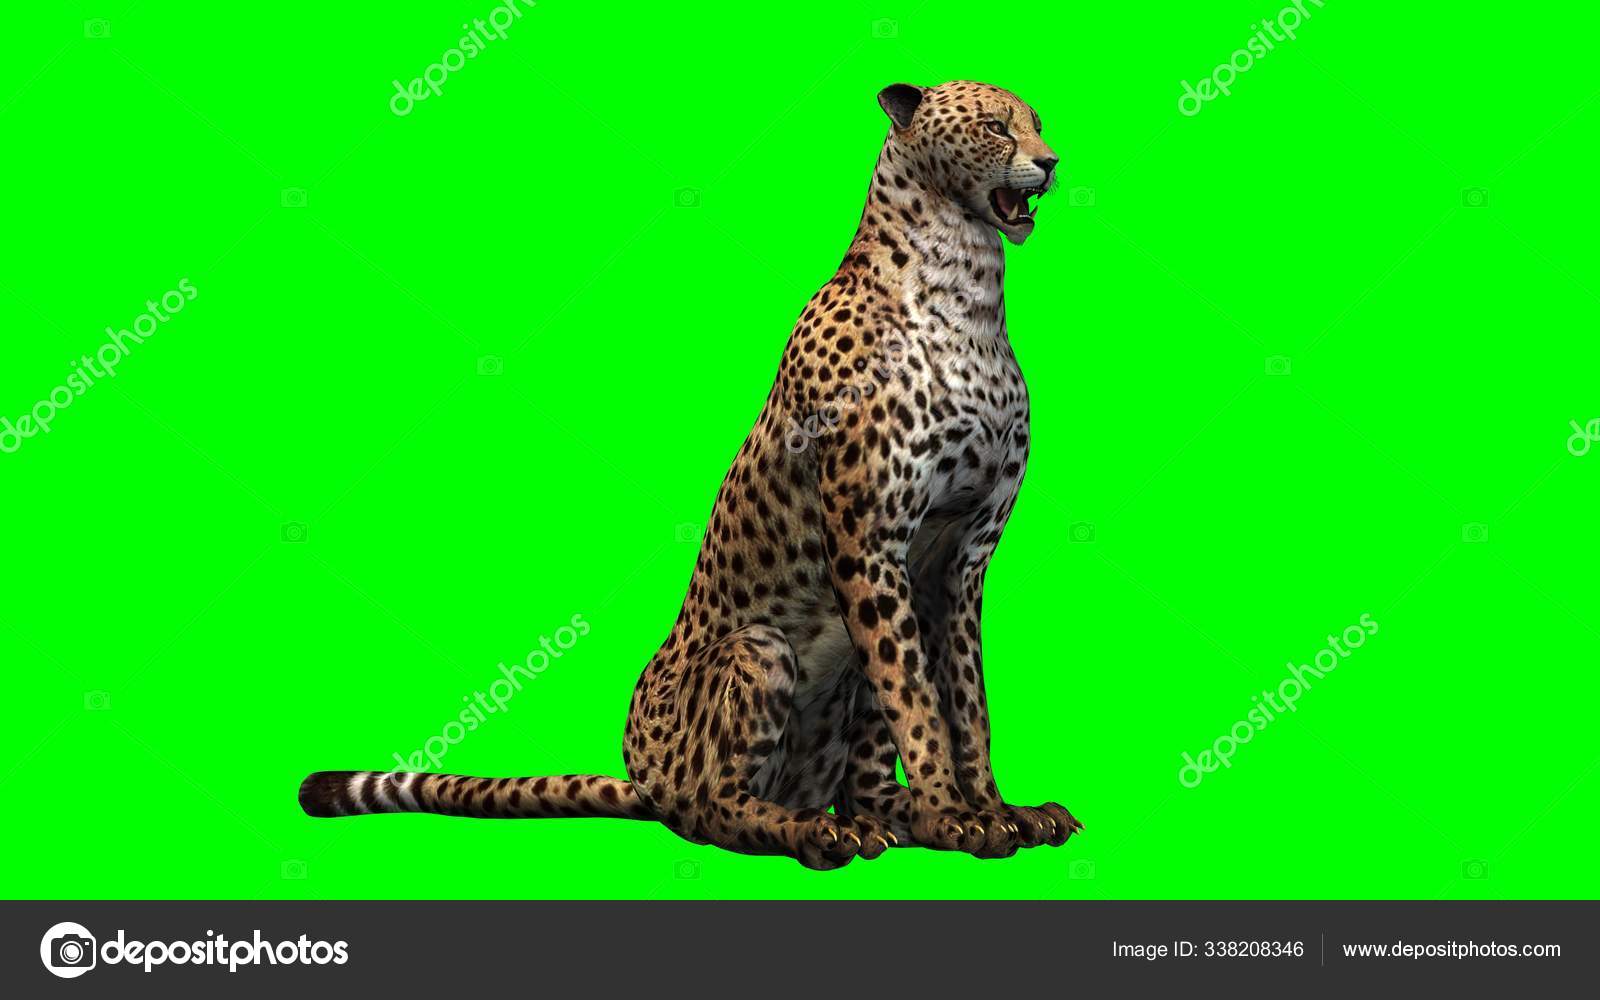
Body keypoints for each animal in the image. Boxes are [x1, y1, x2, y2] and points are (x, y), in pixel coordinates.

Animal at [301, 80, 1083, 869]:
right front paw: (956, 819)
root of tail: (644, 771)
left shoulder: (958, 556)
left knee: (855, 777)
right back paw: (820, 830)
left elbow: (966, 697)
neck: (967, 284)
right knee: (716, 810)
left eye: (1038, 124)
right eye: (996, 125)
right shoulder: (871, 545)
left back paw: (886, 816)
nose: (1050, 162)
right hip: (757, 654)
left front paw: (992, 808)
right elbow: (916, 698)